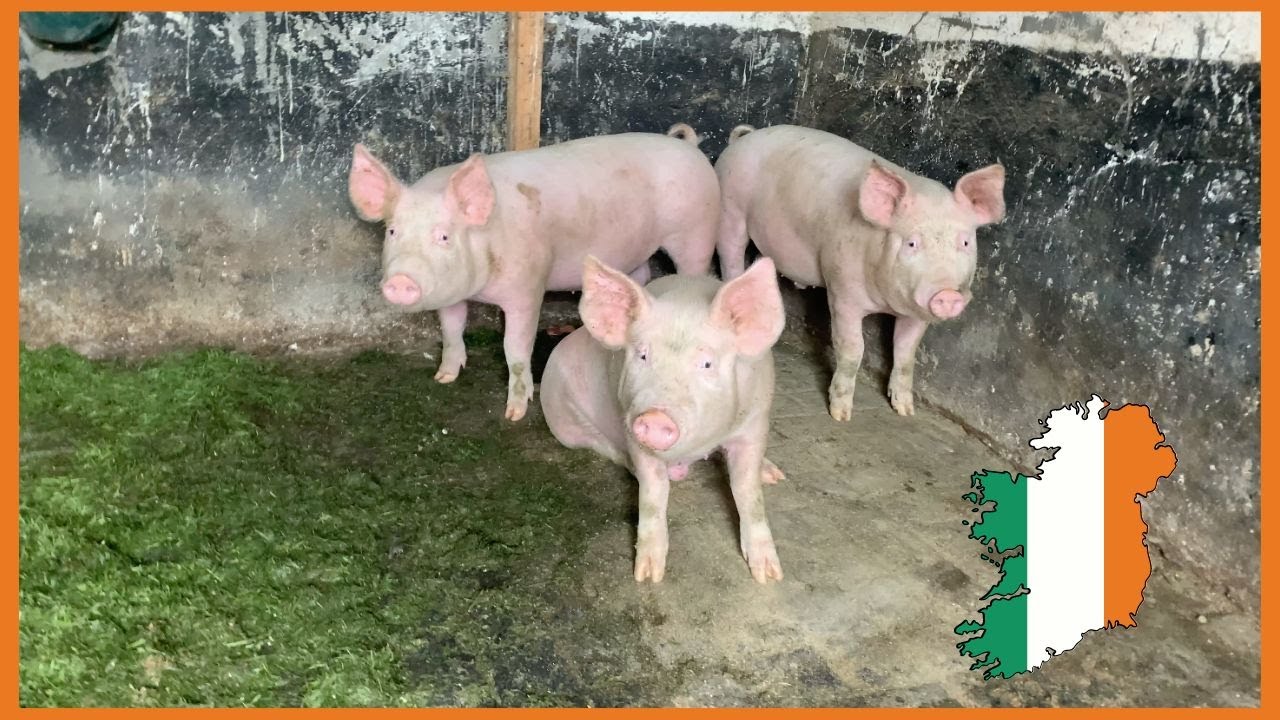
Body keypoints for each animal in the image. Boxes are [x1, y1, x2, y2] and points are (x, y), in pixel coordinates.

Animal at [348, 124, 720, 421]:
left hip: (696, 232)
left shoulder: (527, 289)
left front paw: (514, 413)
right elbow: (451, 330)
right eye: (392, 231)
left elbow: (515, 349)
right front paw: (444, 378)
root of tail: (688, 145)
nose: (401, 281)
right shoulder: (453, 293)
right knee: (638, 275)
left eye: (443, 236)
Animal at [540, 255, 788, 584]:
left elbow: (748, 491)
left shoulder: (755, 423)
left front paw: (769, 575)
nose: (656, 416)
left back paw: (772, 474)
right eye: (643, 355)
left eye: (706, 363)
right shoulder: (632, 429)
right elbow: (653, 494)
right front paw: (647, 575)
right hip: (566, 425)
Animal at [713, 124, 1006, 420]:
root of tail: (745, 137)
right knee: (731, 258)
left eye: (965, 242)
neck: (886, 302)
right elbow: (853, 349)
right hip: (729, 209)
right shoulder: (842, 291)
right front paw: (841, 415)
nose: (947, 293)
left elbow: (905, 354)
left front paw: (905, 410)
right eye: (912, 243)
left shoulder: (916, 312)